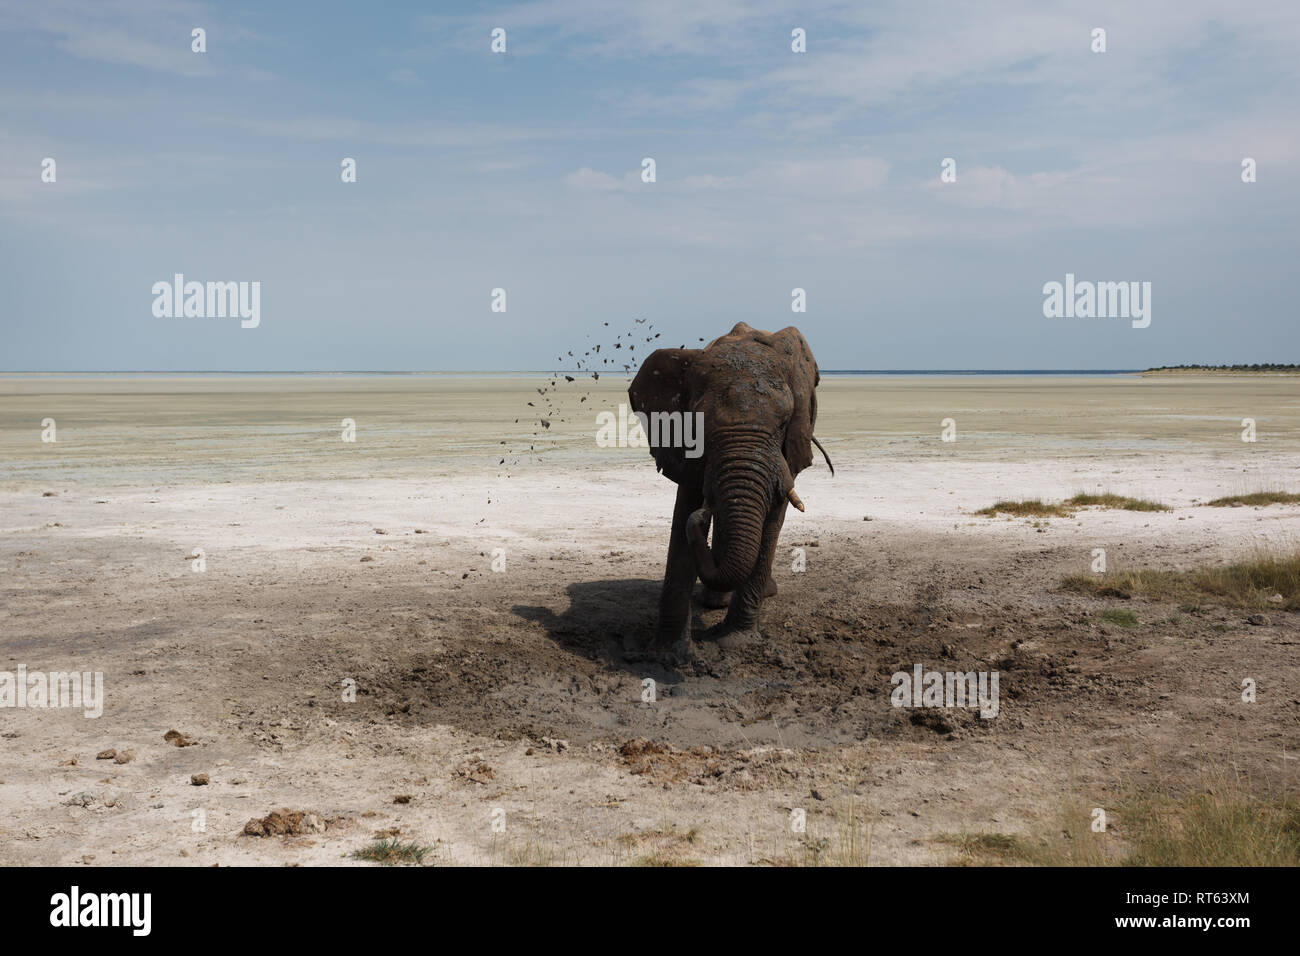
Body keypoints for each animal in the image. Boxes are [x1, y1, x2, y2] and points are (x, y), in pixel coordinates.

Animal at [629, 322, 833, 647]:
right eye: (697, 427)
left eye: (784, 422)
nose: (702, 517)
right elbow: (684, 507)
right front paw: (667, 650)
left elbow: (773, 517)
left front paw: (736, 642)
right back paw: (715, 602)